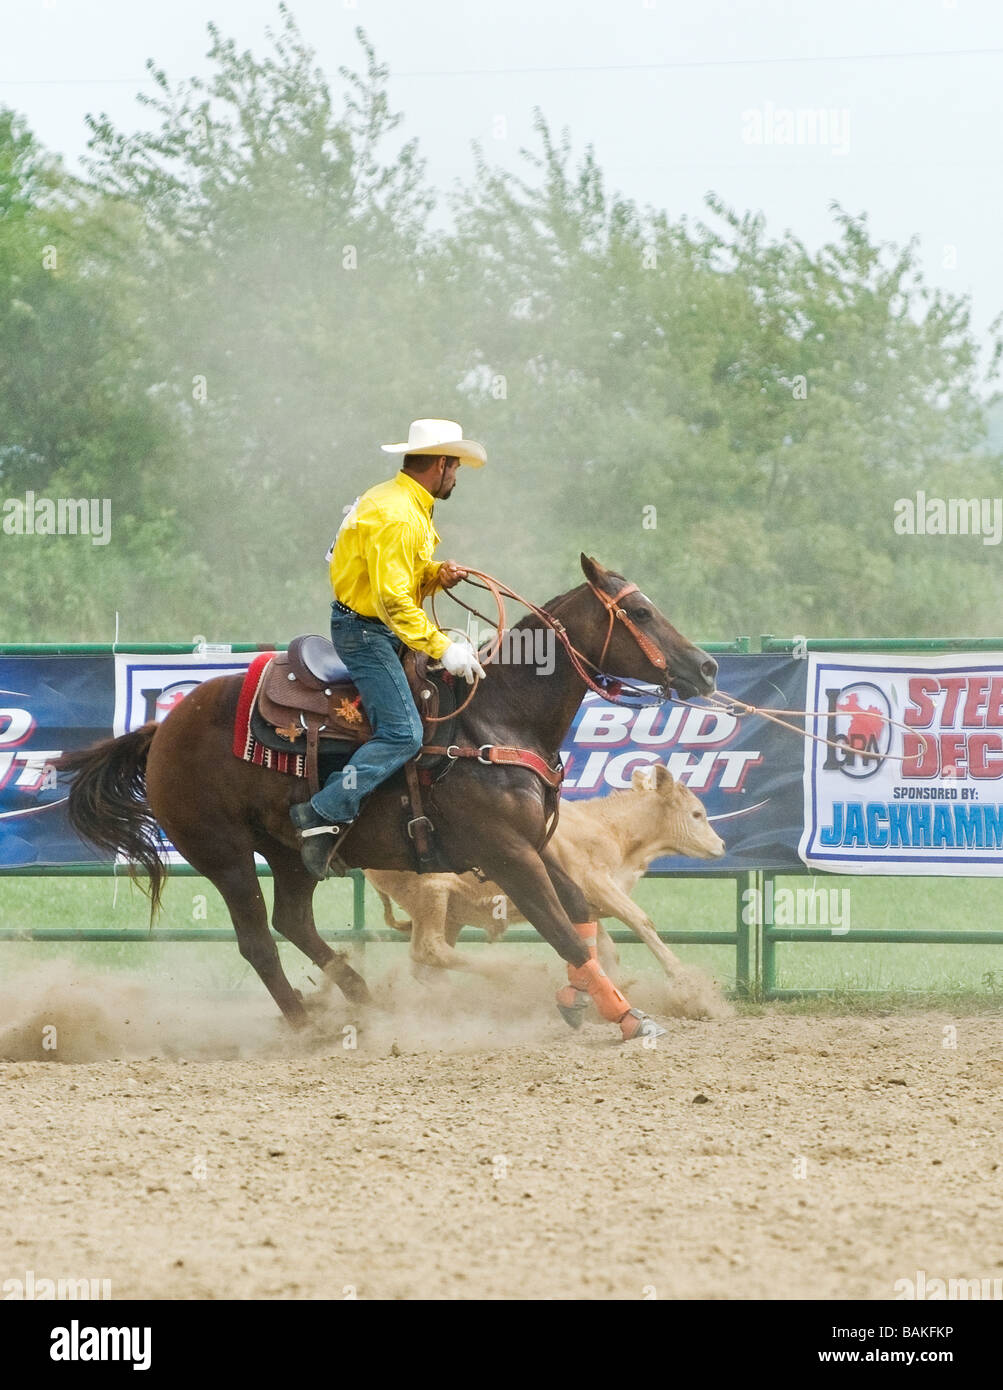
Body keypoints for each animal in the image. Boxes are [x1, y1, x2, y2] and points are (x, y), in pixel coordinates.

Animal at [55, 554, 717, 1041]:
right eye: (640, 611)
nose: (707, 667)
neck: (495, 720)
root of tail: (163, 728)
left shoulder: (536, 845)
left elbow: (579, 914)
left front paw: (577, 997)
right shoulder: (506, 853)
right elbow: (561, 928)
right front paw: (627, 1018)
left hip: (293, 853)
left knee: (293, 921)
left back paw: (360, 998)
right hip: (223, 854)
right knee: (258, 940)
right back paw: (307, 1026)